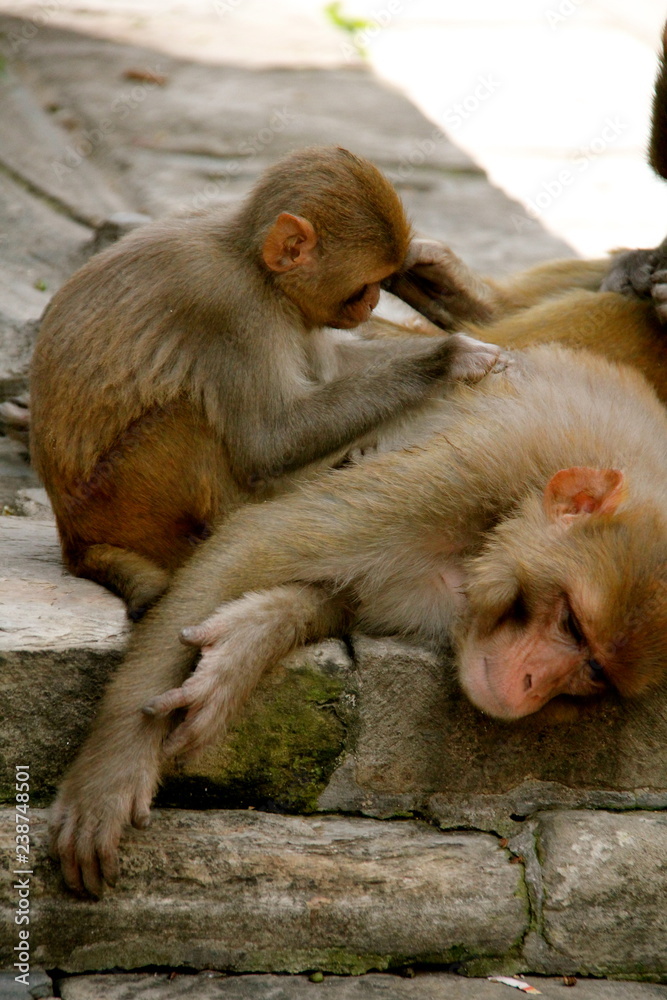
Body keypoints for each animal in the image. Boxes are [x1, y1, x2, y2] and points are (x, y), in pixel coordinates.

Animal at [29, 145, 502, 619]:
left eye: (381, 285)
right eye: (365, 286)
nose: (371, 304)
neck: (255, 265)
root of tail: (72, 536)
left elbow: (332, 368)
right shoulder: (231, 309)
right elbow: (268, 439)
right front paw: (449, 358)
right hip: (120, 500)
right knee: (186, 417)